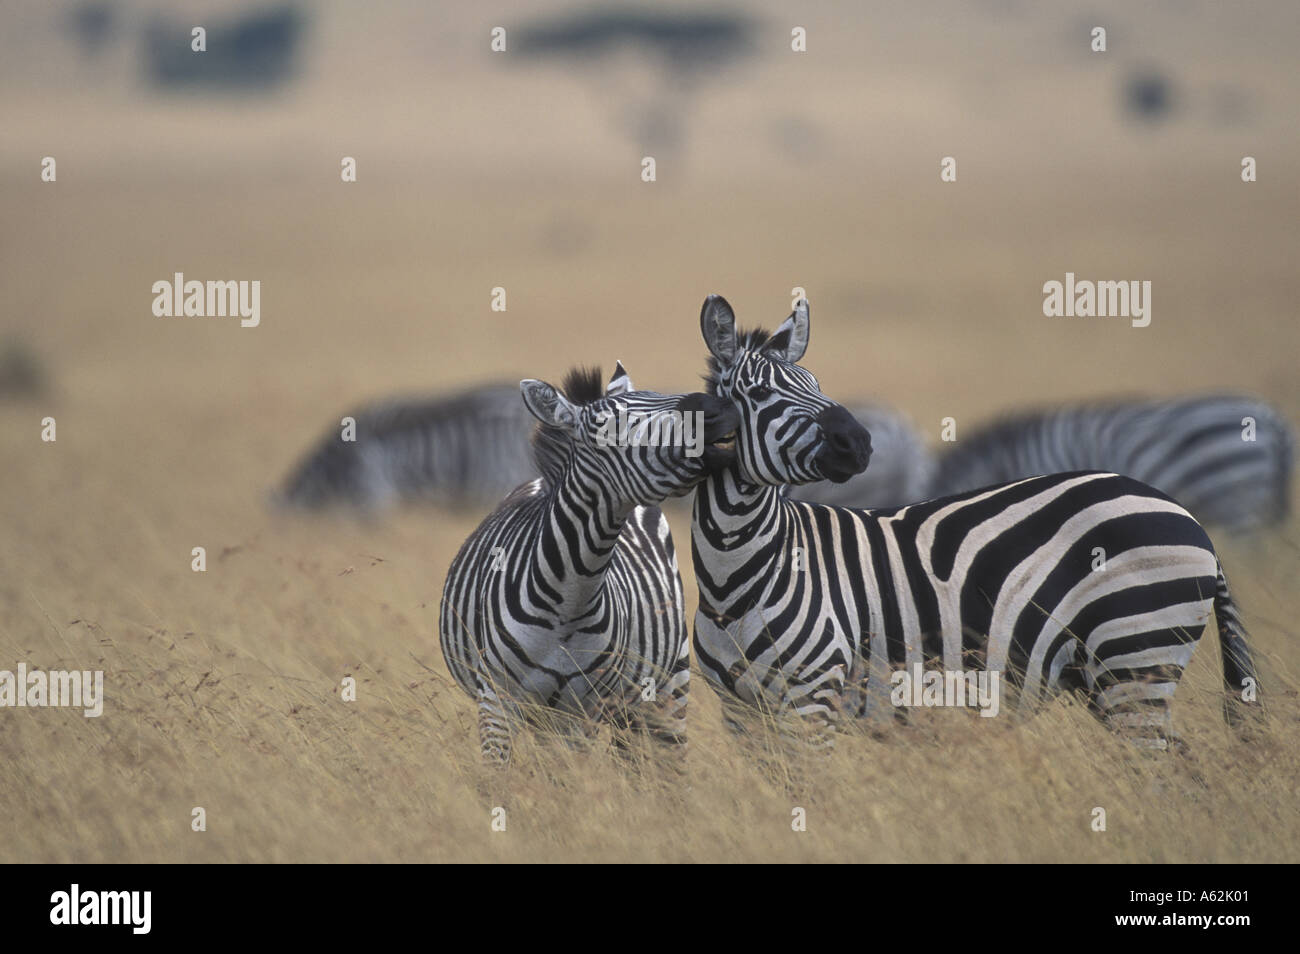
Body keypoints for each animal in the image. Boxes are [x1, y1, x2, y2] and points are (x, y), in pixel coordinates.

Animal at [439, 363, 739, 763]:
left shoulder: (583, 708)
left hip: (665, 687)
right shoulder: (495, 698)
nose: (721, 408)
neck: (568, 599)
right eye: (611, 425)